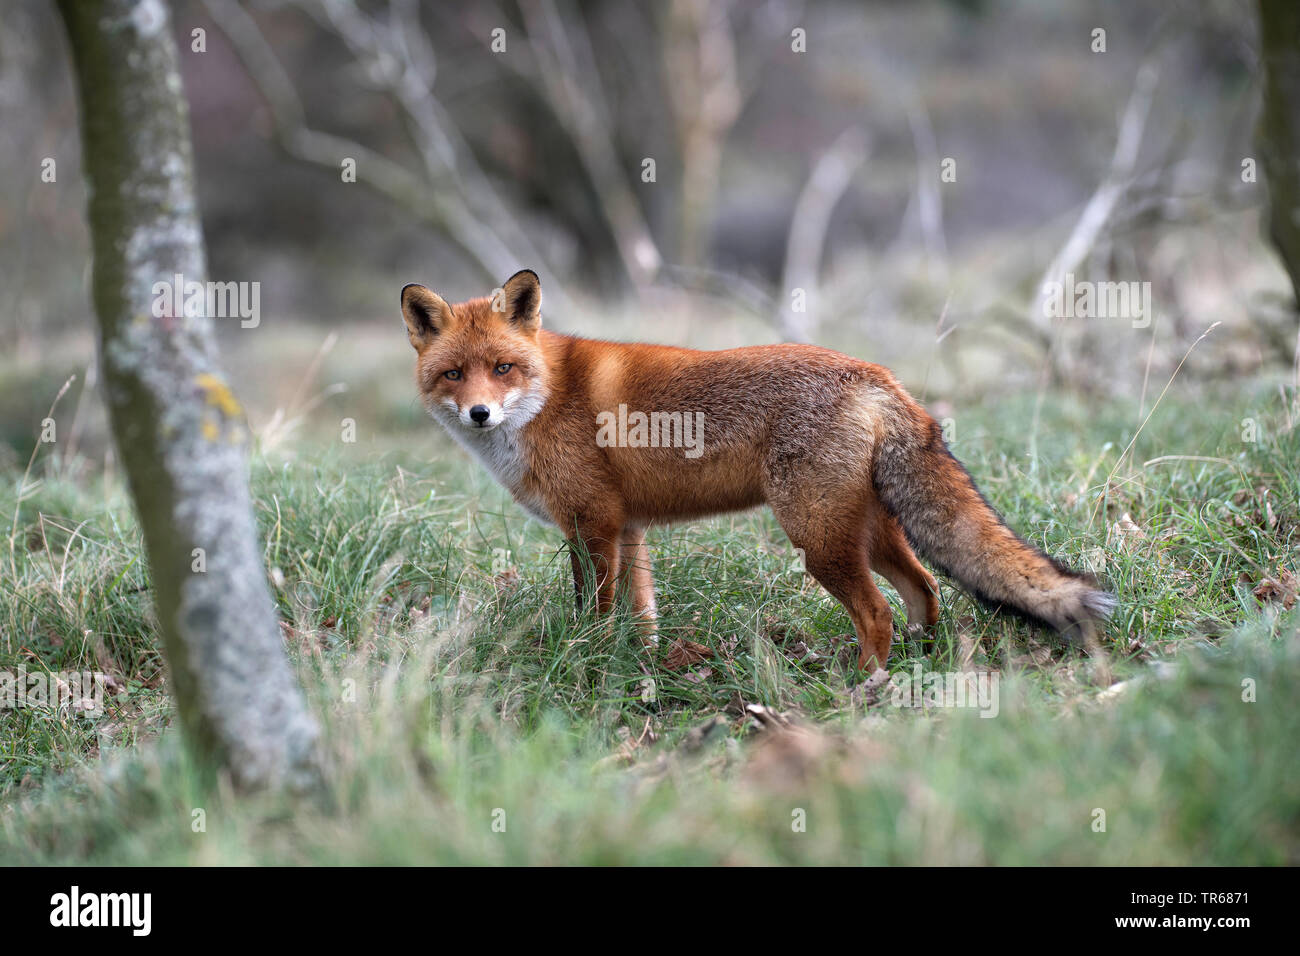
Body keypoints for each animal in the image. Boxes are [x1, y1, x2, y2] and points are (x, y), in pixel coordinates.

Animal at [400, 269, 1114, 671]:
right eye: (453, 374)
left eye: (503, 367)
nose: (480, 414)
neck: (548, 394)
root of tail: (875, 373)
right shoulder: (626, 528)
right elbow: (643, 612)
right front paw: (644, 667)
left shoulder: (594, 524)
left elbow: (595, 609)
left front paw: (589, 659)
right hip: (868, 533)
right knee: (926, 589)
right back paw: (922, 665)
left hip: (818, 540)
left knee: (878, 613)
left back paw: (862, 687)